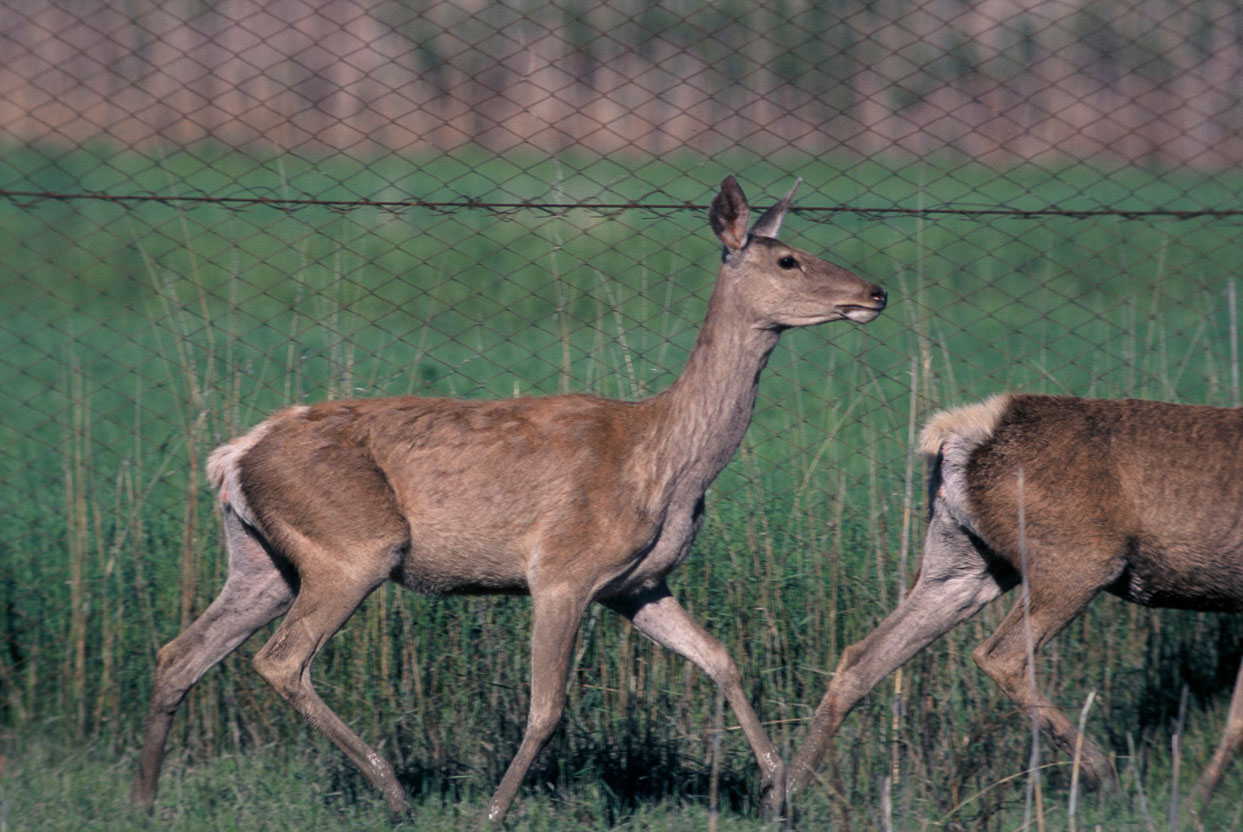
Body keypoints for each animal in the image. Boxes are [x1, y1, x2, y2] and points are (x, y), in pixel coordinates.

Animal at [129, 176, 888, 824]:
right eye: (789, 259)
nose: (876, 292)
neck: (664, 460)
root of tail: (232, 456)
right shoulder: (562, 570)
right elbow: (547, 708)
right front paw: (493, 811)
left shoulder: (637, 584)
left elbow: (721, 658)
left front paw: (777, 791)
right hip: (353, 544)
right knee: (280, 660)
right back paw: (393, 792)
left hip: (264, 561)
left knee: (179, 654)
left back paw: (143, 800)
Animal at [785, 392, 1243, 817]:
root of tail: (963, 431)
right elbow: (1237, 717)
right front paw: (1194, 805)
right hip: (1078, 563)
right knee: (1000, 655)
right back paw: (1106, 777)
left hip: (961, 566)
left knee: (861, 658)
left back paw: (784, 794)